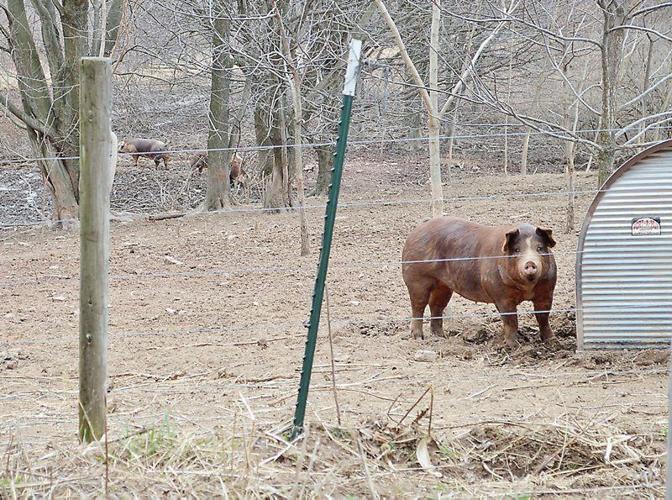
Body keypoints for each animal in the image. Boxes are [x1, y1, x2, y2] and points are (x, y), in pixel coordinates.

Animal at [401, 217, 557, 348]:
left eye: (540, 248)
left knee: (436, 306)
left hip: (443, 285)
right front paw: (513, 346)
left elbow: (543, 317)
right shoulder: (501, 296)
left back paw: (441, 336)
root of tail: (414, 232)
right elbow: (511, 321)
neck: (527, 288)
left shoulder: (547, 292)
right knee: (418, 306)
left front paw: (552, 341)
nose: (530, 263)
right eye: (517, 250)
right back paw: (418, 338)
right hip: (416, 277)